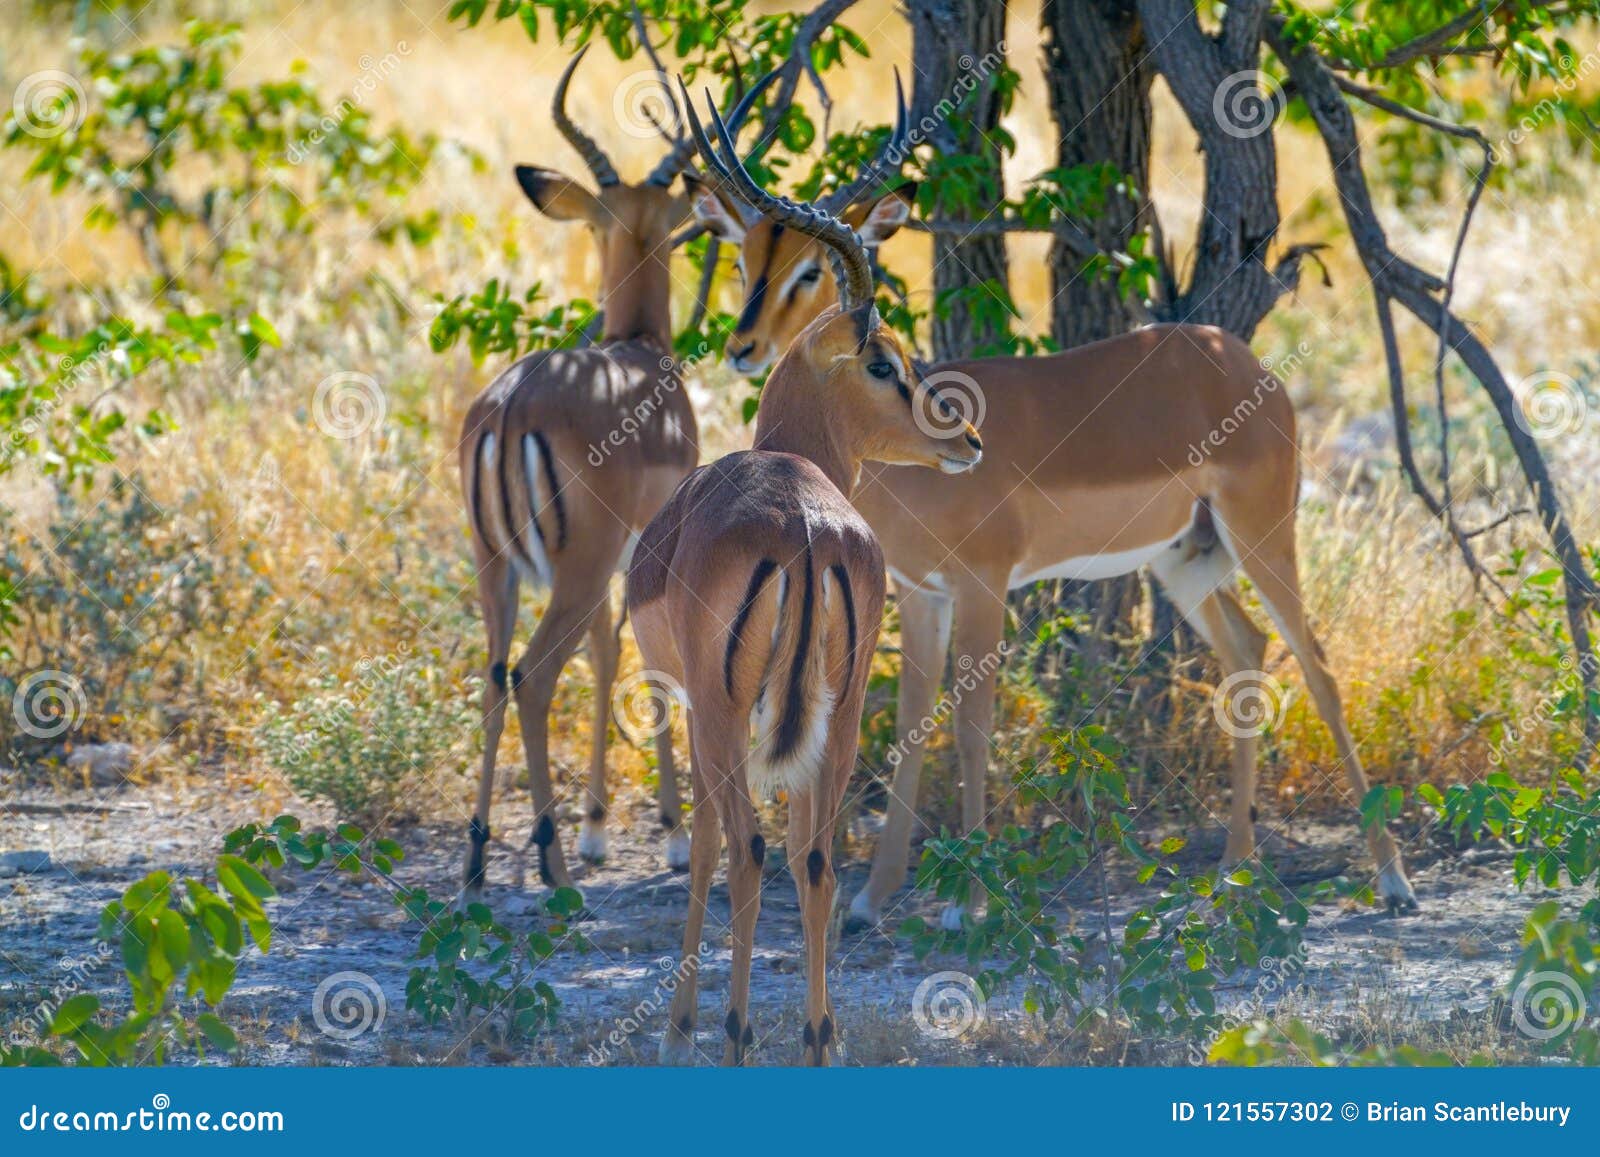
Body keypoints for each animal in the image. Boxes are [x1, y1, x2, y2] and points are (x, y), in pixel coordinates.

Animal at [459, 45, 701, 897]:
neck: (641, 352)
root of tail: (509, 410)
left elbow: (606, 651)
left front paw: (599, 829)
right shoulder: (643, 556)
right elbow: (647, 664)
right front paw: (670, 837)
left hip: (497, 567)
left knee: (494, 674)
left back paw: (475, 862)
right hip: (575, 566)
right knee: (531, 677)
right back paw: (554, 869)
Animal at [626, 81, 981, 1065]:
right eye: (884, 360)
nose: (969, 438)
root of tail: (806, 528)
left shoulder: (695, 707)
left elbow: (707, 848)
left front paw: (679, 1027)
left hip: (727, 714)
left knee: (749, 854)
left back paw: (739, 1033)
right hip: (844, 715)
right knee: (814, 860)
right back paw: (821, 1037)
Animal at [692, 87, 1418, 928]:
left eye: (807, 271)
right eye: (745, 259)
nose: (743, 345)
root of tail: (1240, 359)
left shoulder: (982, 584)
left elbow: (973, 728)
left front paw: (968, 903)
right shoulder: (921, 592)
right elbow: (912, 723)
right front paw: (873, 898)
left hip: (1263, 534)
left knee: (1318, 665)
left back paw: (1392, 880)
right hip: (1184, 558)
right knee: (1247, 651)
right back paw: (1235, 869)